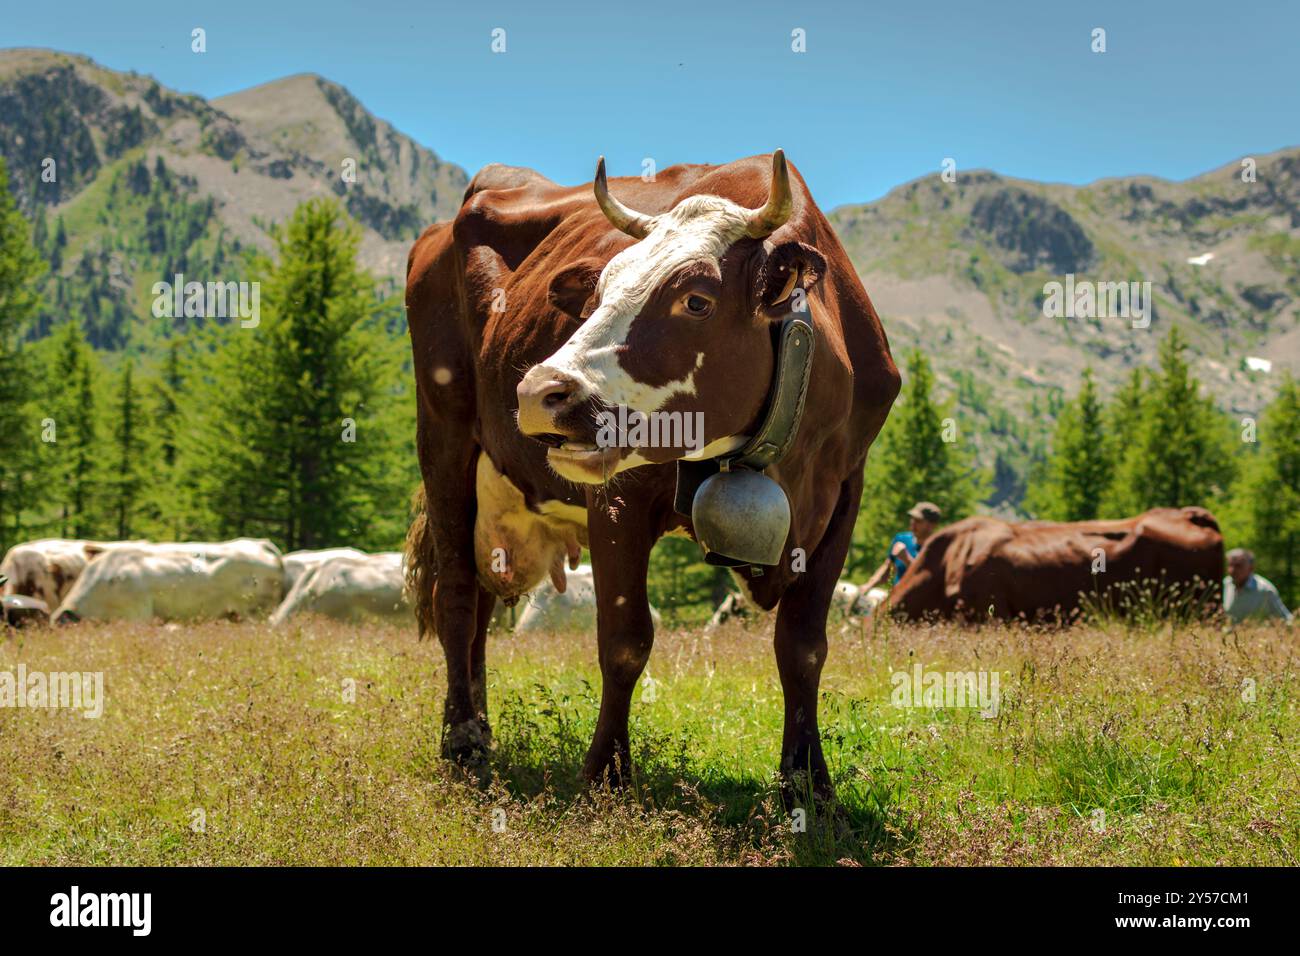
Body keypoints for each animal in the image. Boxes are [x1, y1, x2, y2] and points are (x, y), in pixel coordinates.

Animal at [404, 150, 899, 799]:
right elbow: (625, 639)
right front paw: (606, 776)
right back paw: (462, 743)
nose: (538, 392)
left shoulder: (843, 495)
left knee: (484, 606)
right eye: (601, 291)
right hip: (443, 437)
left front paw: (808, 784)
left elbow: (804, 648)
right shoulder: (620, 498)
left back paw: (476, 730)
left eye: (696, 300)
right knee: (459, 597)